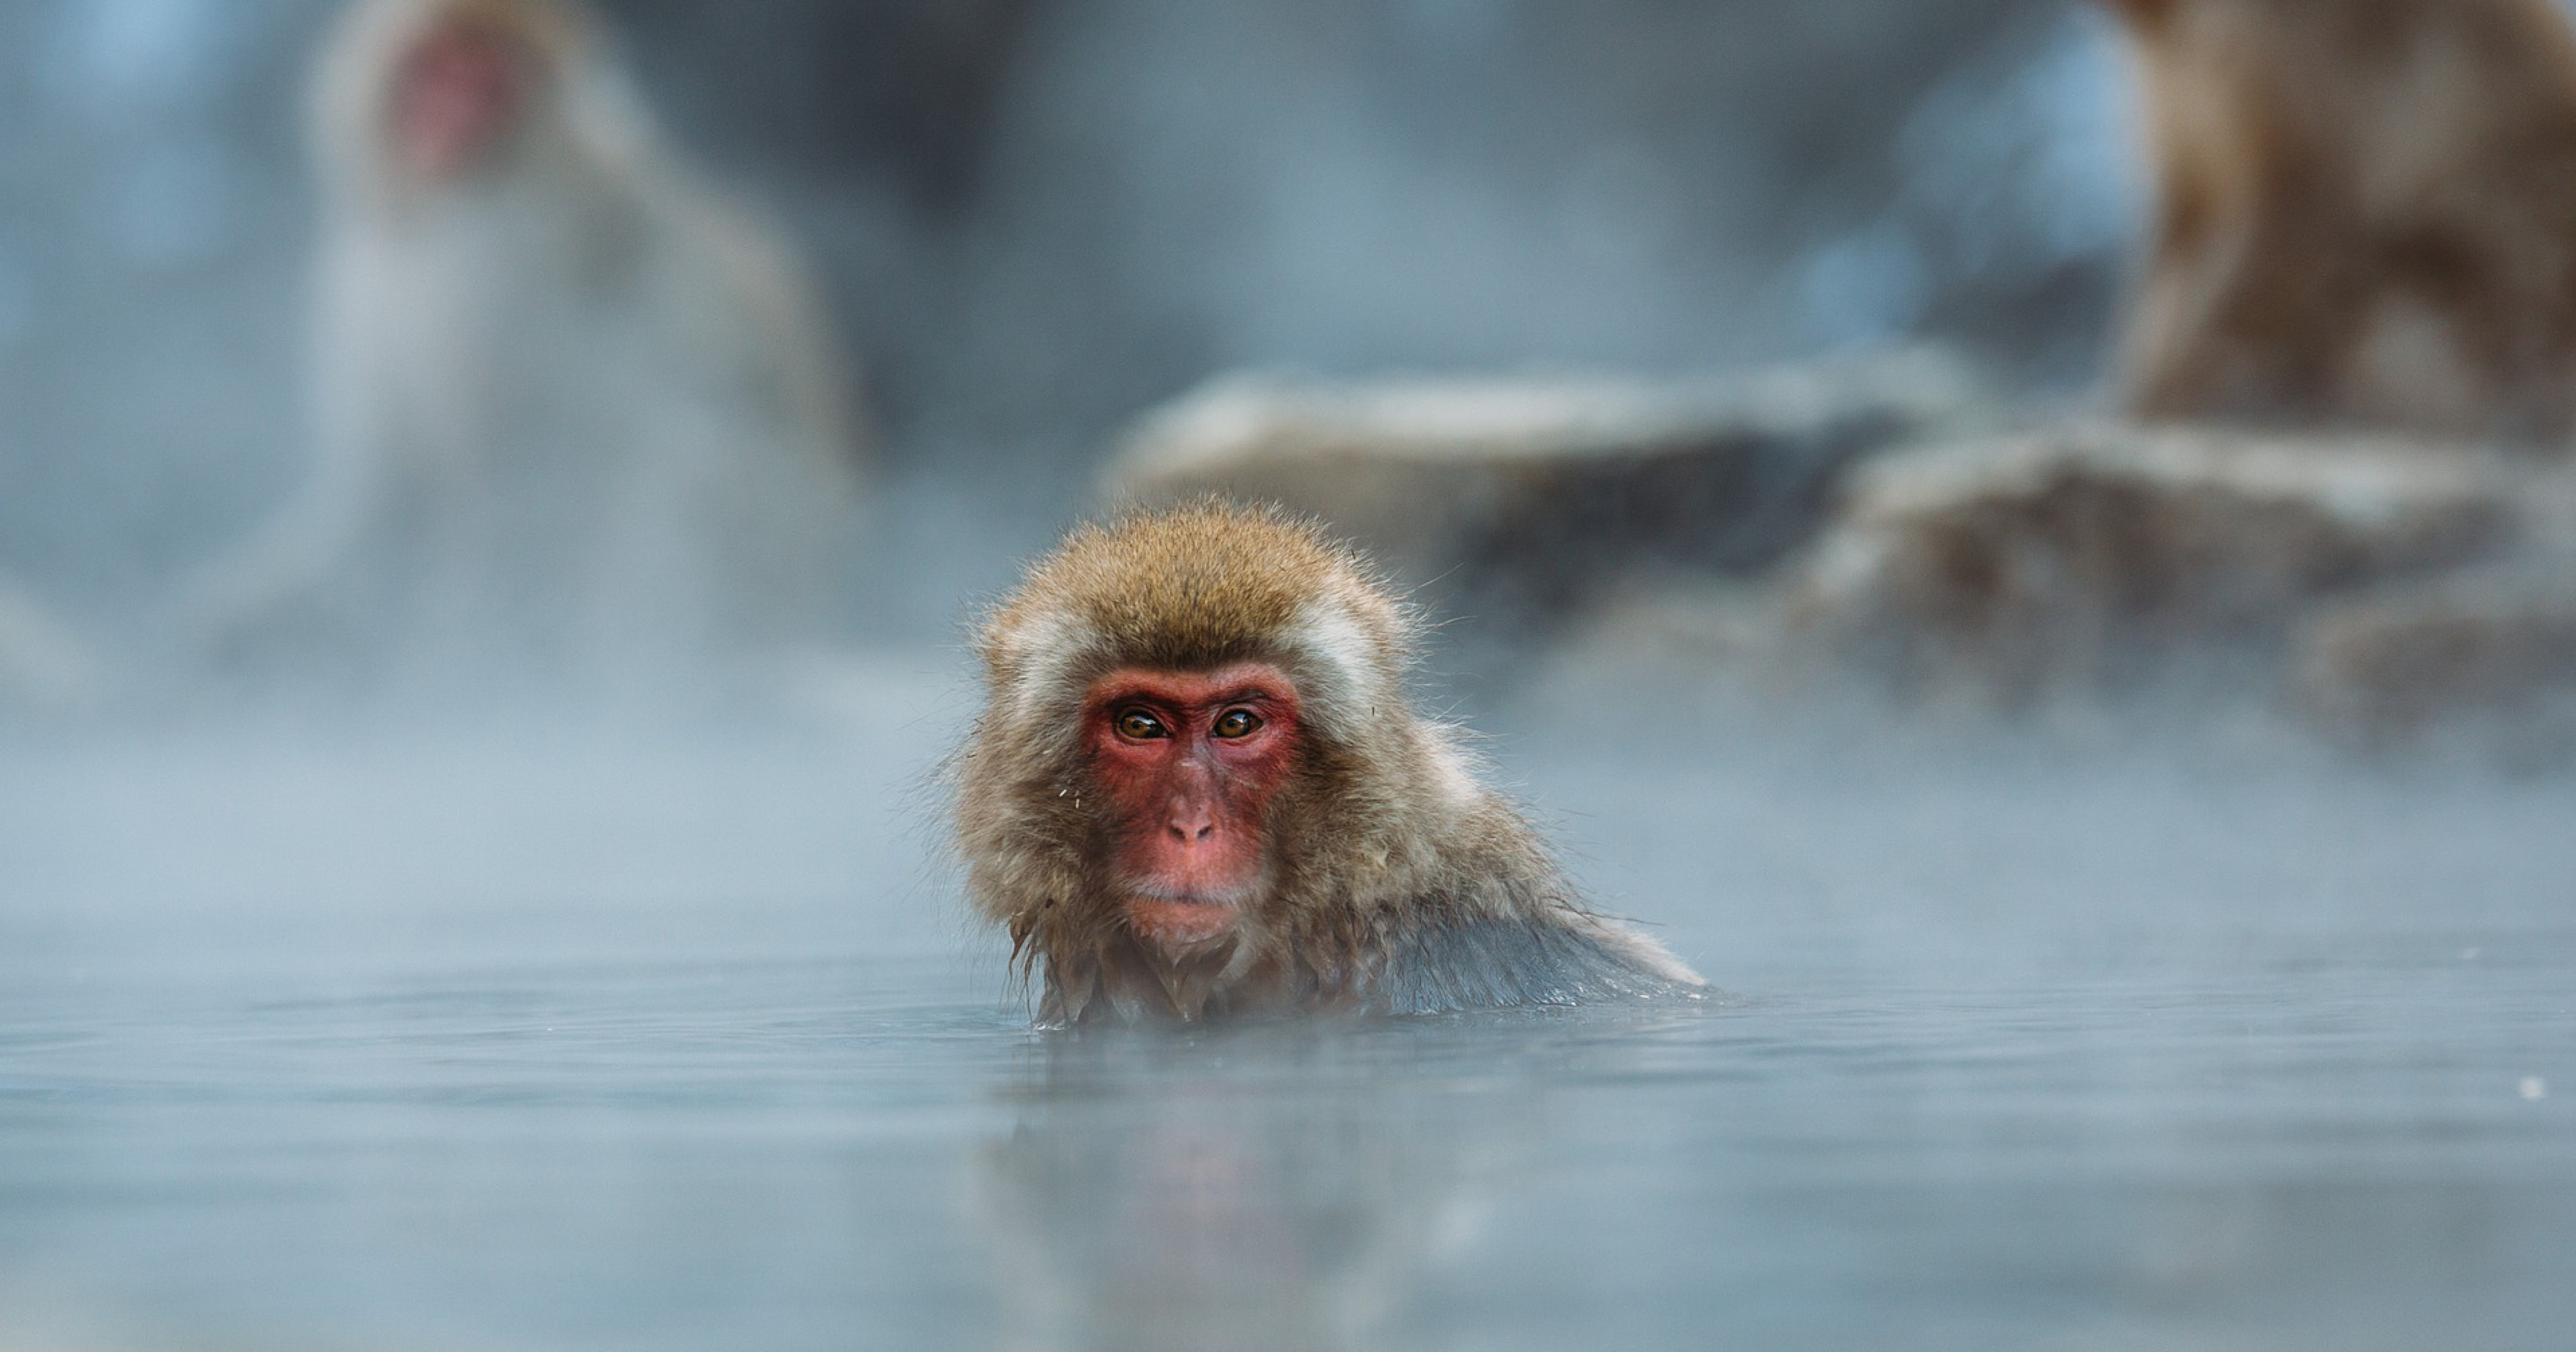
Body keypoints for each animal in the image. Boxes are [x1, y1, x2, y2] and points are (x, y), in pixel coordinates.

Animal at [186, 0, 864, 687]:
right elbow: (392, 496)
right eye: (436, 67)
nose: (445, 125)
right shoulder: (365, 280)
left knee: (676, 457)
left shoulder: (499, 271)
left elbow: (515, 480)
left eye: (490, 87)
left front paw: (463, 649)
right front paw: (232, 616)